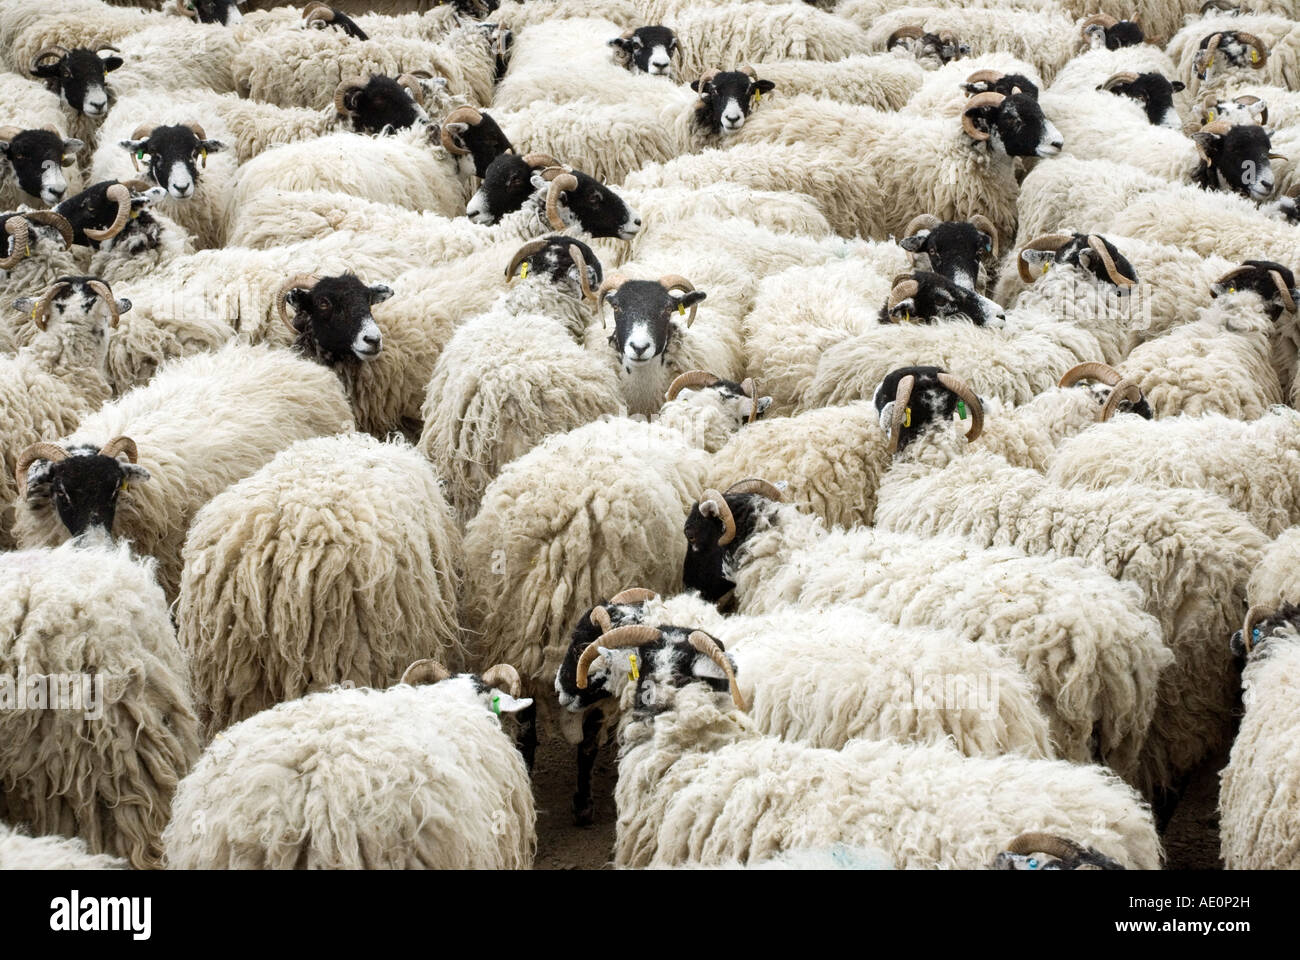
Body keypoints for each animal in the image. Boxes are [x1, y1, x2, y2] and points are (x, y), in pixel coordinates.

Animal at [681, 484, 1172, 785]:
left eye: (693, 536)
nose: (683, 589)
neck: (785, 559)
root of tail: (1114, 641)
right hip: (1122, 741)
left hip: (1069, 734)